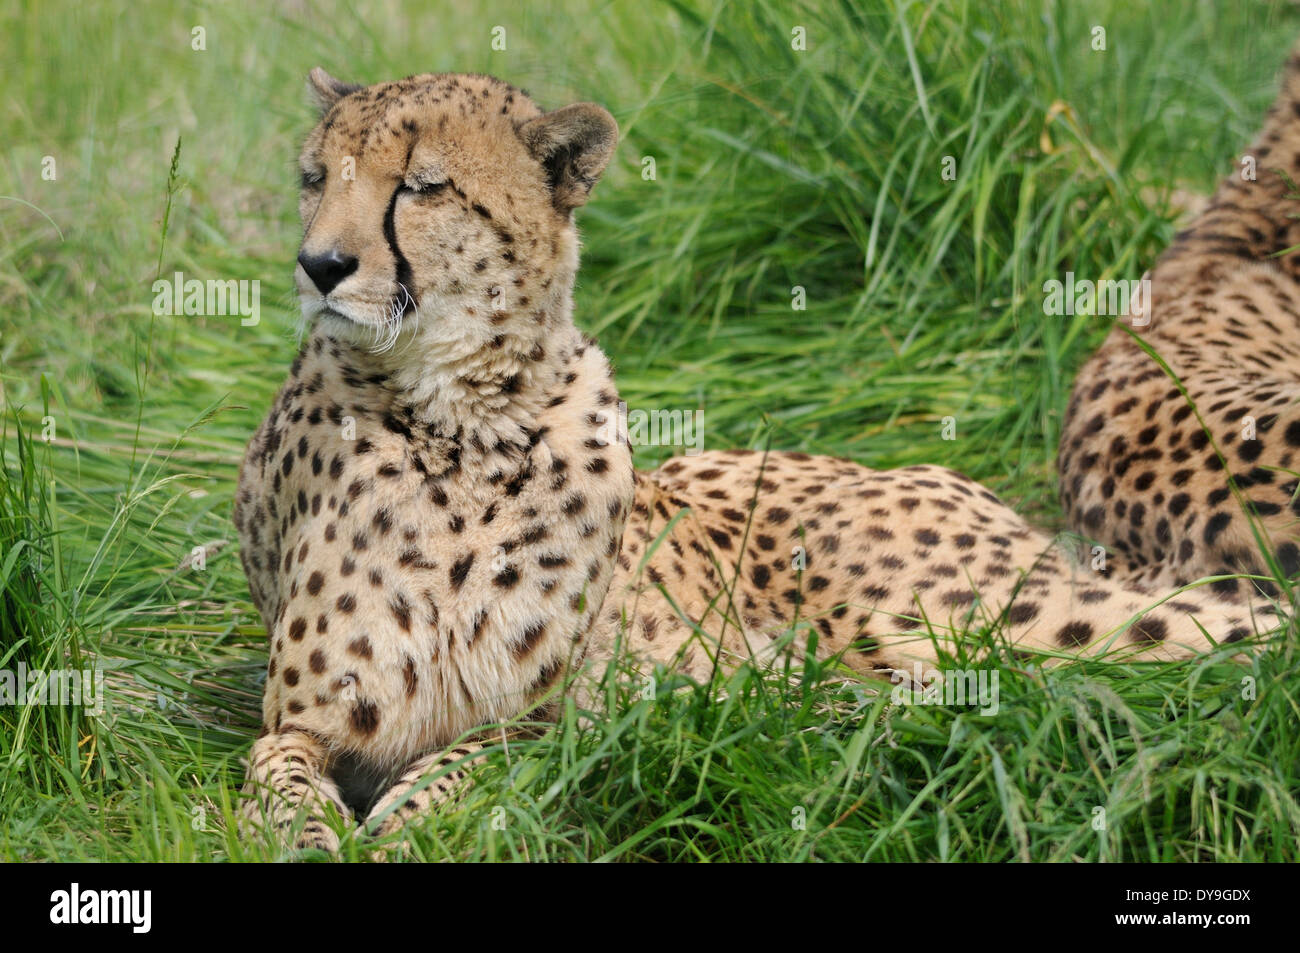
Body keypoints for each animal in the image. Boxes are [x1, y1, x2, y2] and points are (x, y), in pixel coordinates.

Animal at [233, 55, 1296, 852]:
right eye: (316, 180)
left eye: (421, 187)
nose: (319, 265)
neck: (458, 418)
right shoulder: (297, 724)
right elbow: (274, 783)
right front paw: (312, 833)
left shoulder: (560, 721)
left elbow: (466, 762)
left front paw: (409, 816)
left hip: (992, 615)